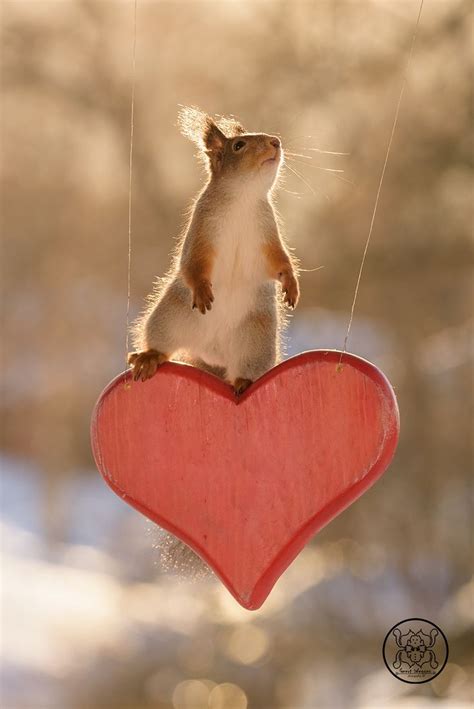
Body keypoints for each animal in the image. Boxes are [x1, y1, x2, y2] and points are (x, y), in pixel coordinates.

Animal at [128, 106, 299, 393]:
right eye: (239, 145)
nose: (275, 142)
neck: (243, 199)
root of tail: (212, 354)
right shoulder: (202, 229)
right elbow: (194, 262)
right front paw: (202, 289)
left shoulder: (267, 233)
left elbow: (279, 260)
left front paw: (291, 285)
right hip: (169, 318)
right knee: (162, 345)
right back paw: (149, 357)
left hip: (256, 340)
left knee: (245, 369)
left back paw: (243, 383)